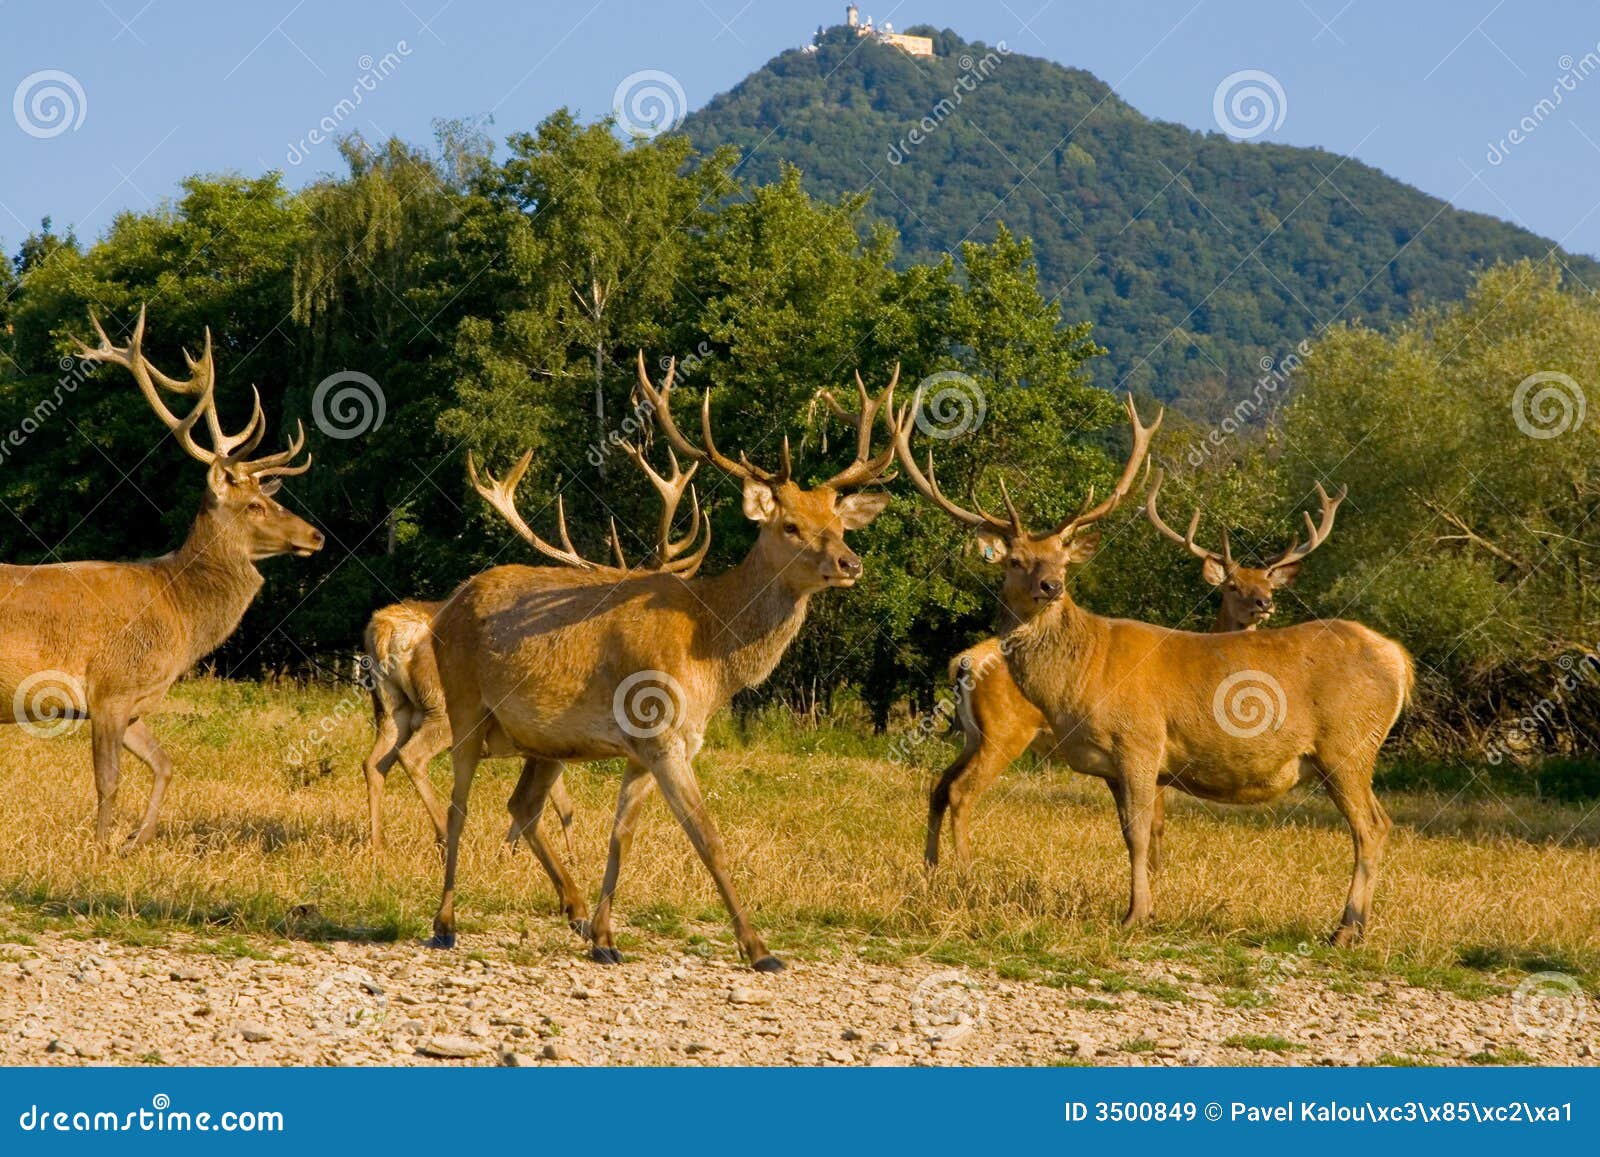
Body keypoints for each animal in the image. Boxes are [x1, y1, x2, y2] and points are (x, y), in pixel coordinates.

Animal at [0, 307, 322, 848]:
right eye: (255, 505)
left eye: (271, 497)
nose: (316, 536)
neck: (179, 612)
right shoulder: (109, 686)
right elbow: (108, 780)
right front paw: (101, 847)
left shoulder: (136, 701)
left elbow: (165, 765)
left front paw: (136, 839)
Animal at [360, 434, 712, 853]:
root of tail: (383, 629)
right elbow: (555, 804)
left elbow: (555, 803)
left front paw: (519, 852)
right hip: (442, 708)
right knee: (411, 758)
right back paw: (445, 836)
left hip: (390, 707)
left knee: (375, 762)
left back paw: (378, 843)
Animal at [426, 353, 896, 970]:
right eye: (789, 524)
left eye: (839, 525)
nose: (849, 562)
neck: (711, 658)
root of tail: (447, 606)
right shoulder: (664, 734)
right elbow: (708, 838)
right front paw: (759, 949)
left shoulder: (649, 747)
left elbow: (620, 835)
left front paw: (604, 938)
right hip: (464, 705)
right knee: (459, 805)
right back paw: (444, 923)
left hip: (542, 741)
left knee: (519, 805)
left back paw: (569, 912)